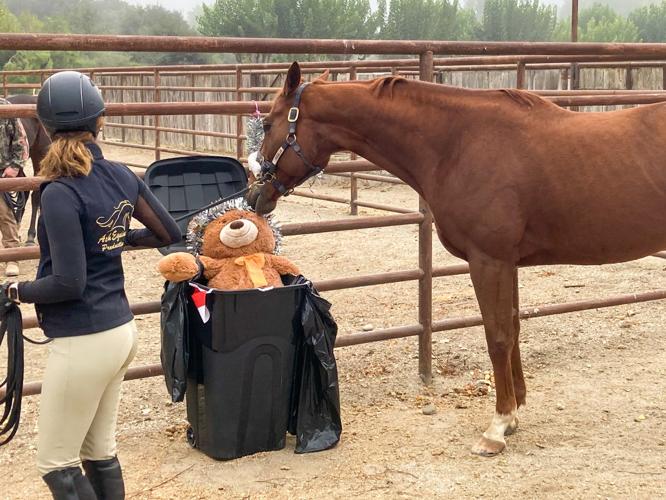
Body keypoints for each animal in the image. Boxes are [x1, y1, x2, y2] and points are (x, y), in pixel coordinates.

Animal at [247, 61, 666, 457]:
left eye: (267, 123)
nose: (254, 196)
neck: (459, 143)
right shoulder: (507, 263)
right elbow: (514, 329)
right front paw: (515, 414)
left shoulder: (489, 261)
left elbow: (497, 336)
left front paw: (497, 428)